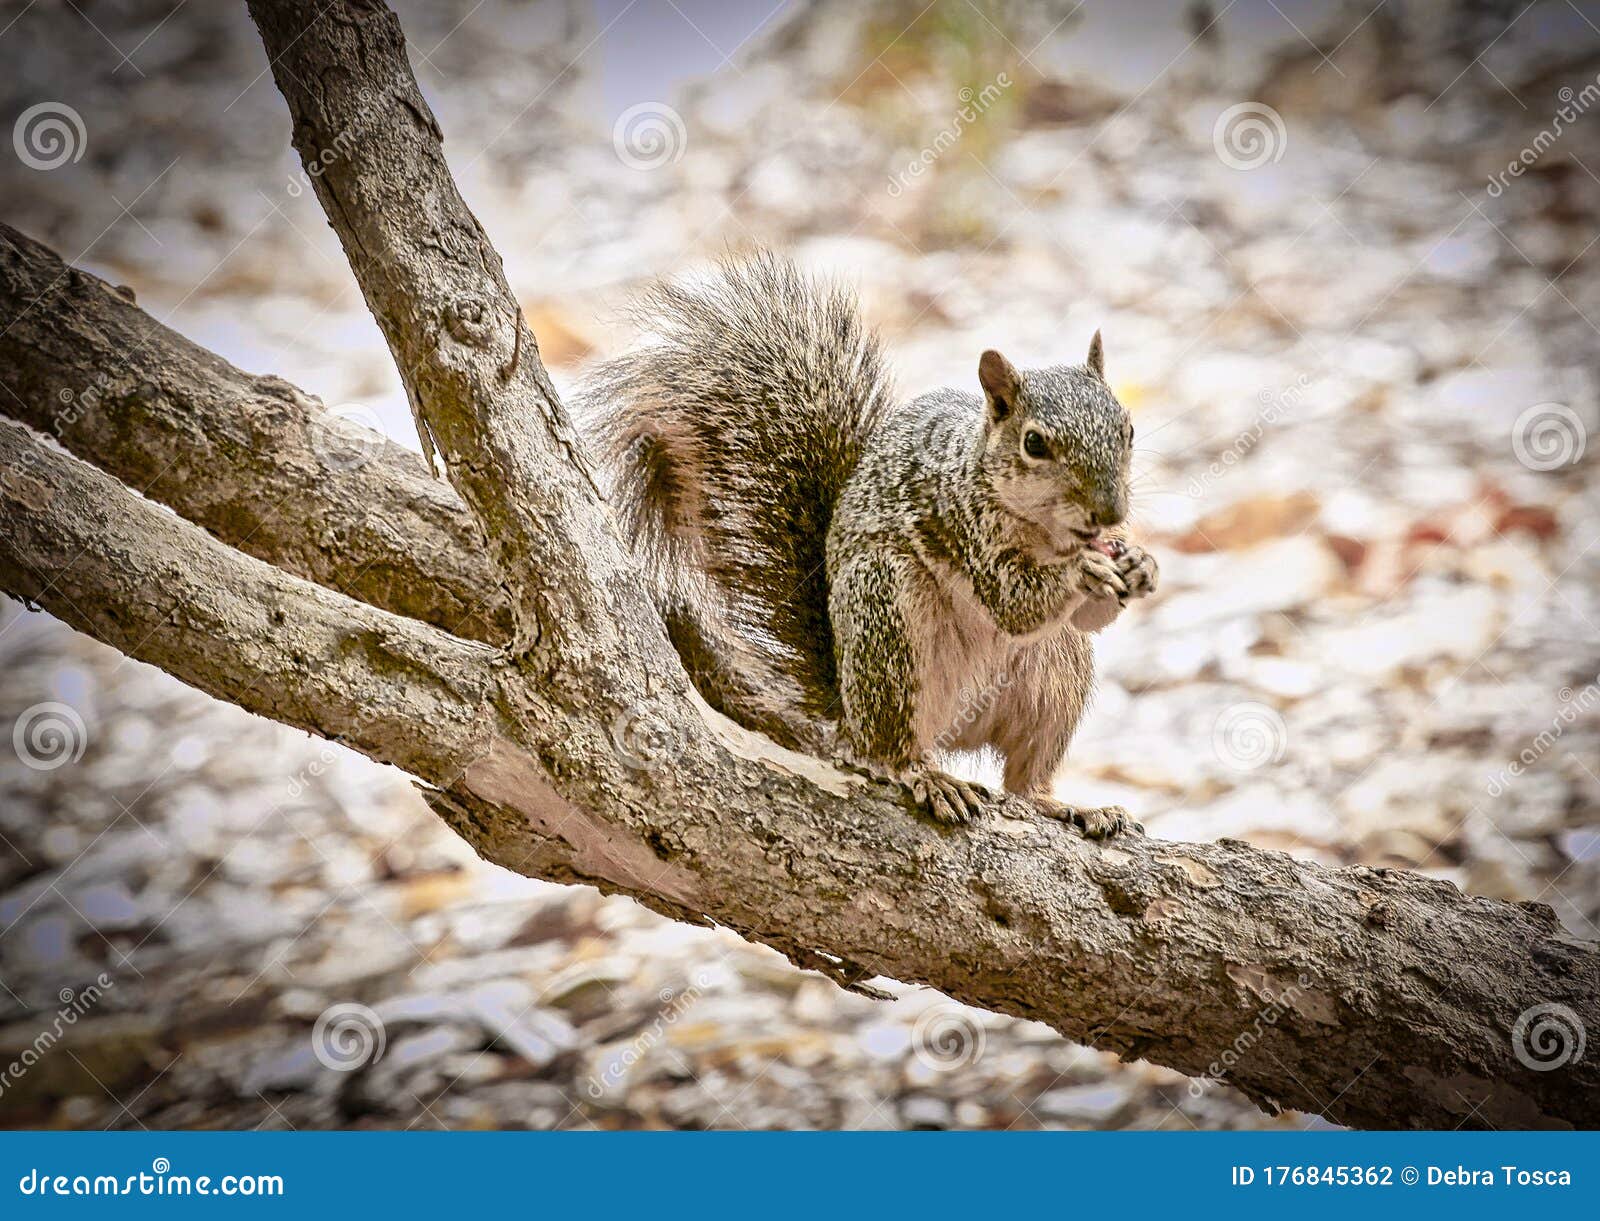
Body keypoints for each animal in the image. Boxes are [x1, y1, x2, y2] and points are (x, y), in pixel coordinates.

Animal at [584, 253, 1158, 837]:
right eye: (1034, 443)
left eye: (1129, 429)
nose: (1111, 513)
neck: (1049, 532)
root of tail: (849, 712)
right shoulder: (960, 524)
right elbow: (1013, 602)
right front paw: (1082, 573)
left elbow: (1090, 616)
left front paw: (1141, 565)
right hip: (887, 616)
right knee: (893, 750)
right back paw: (929, 776)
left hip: (1056, 672)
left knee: (1026, 778)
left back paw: (1067, 805)